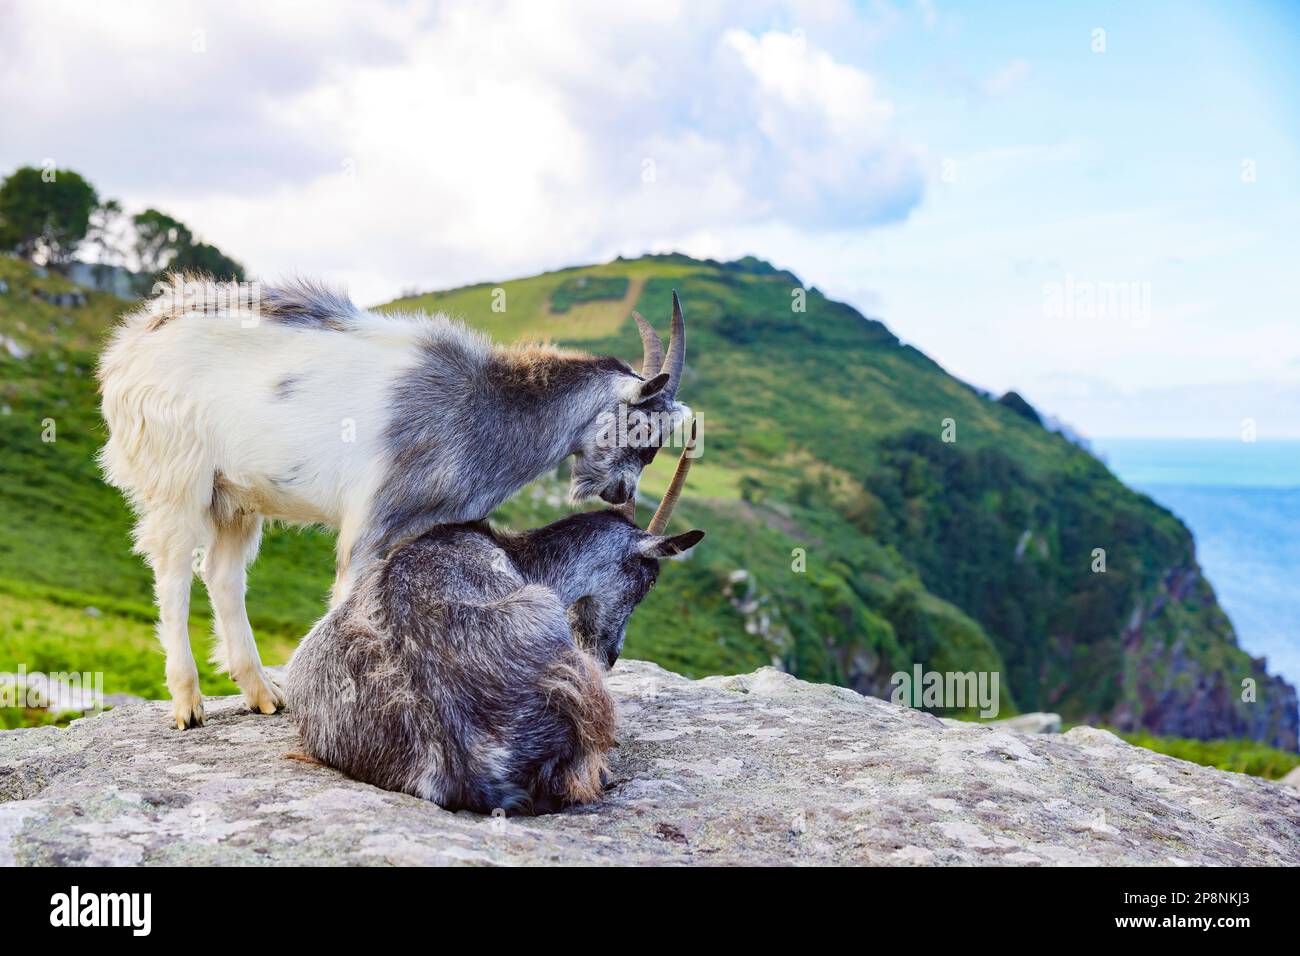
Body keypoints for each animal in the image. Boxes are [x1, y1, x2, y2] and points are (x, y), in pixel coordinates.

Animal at [98, 275, 691, 729]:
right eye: (645, 435)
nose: (622, 493)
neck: (486, 405)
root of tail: (128, 349)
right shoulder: (375, 517)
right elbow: (347, 601)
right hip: (179, 474)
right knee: (174, 572)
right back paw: (188, 703)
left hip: (237, 496)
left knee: (222, 575)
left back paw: (263, 693)